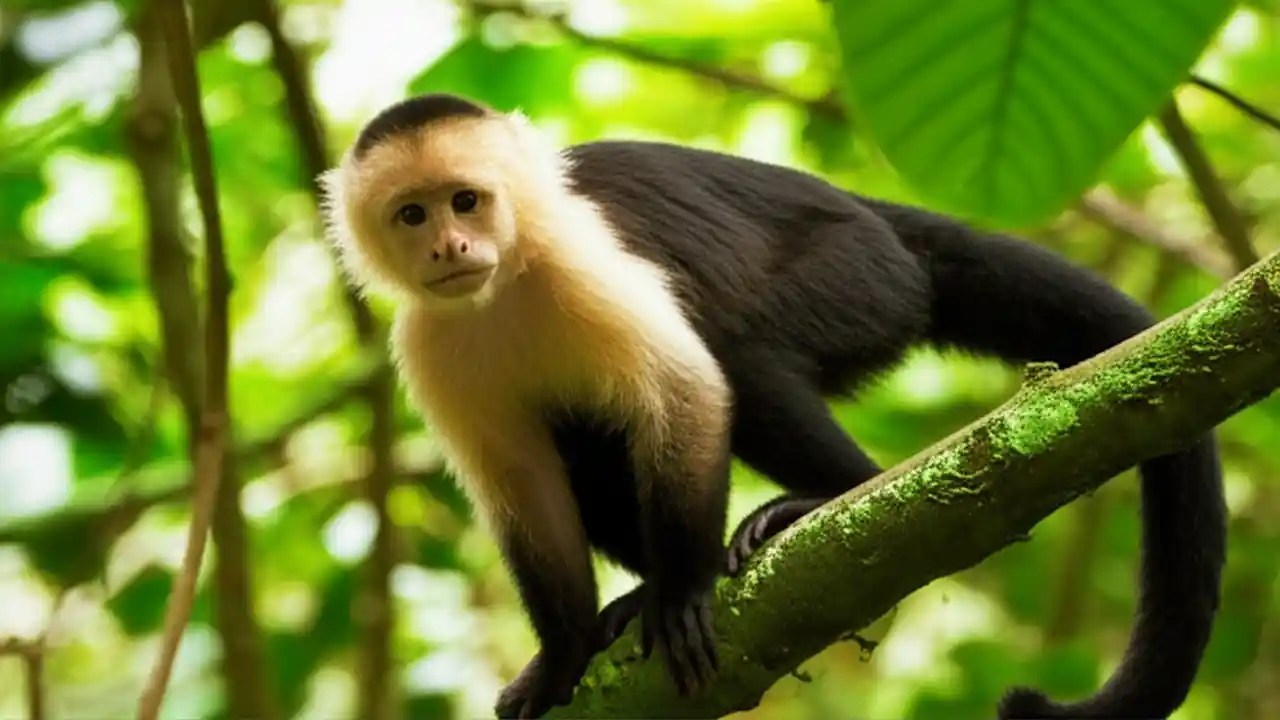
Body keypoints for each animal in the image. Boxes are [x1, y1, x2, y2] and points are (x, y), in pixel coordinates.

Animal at [321, 93, 1226, 720]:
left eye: (467, 200)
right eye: (413, 214)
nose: (450, 246)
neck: (503, 285)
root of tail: (871, 218)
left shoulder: (583, 267)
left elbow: (688, 392)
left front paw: (682, 593)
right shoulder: (427, 344)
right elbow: (522, 485)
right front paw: (567, 650)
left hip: (856, 277)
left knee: (742, 359)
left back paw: (825, 497)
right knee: (585, 437)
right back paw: (634, 599)